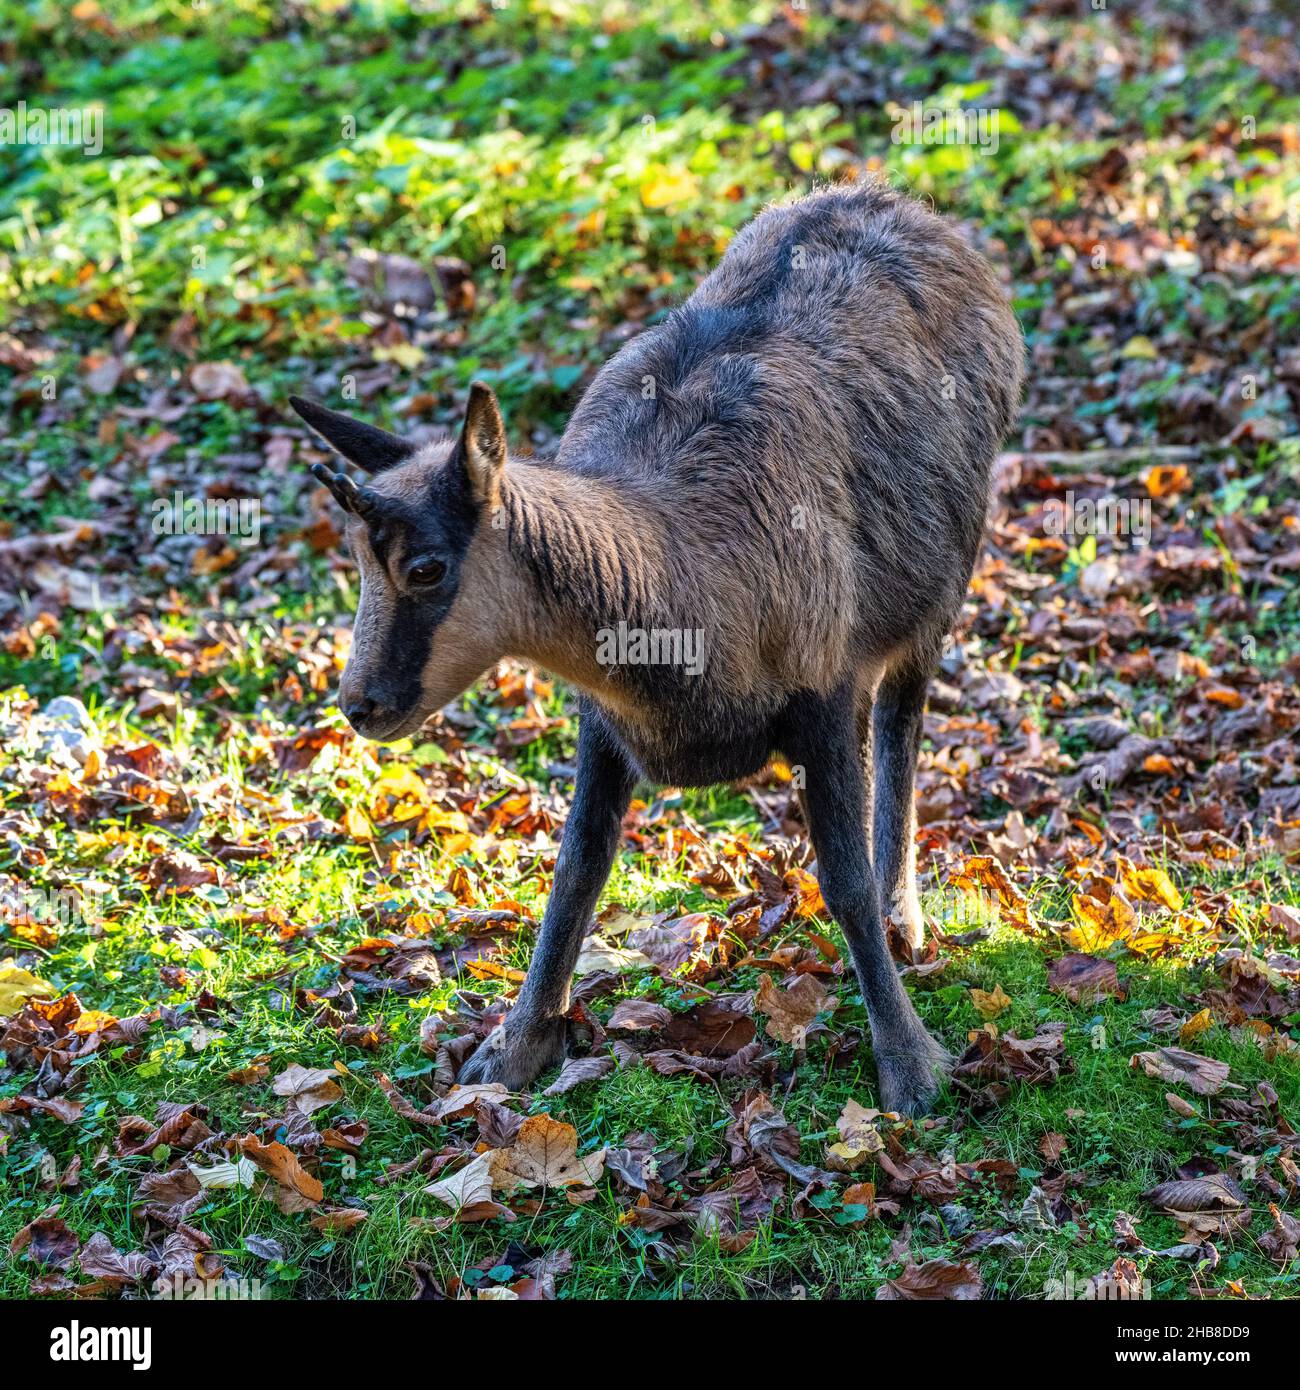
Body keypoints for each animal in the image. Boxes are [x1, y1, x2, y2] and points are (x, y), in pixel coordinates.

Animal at [292, 179, 1023, 1114]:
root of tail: (905, 208)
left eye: (426, 567)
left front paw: (912, 1063)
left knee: (902, 722)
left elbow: (844, 880)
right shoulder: (605, 723)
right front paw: (514, 1047)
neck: (687, 588)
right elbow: (577, 868)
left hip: (941, 588)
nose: (361, 705)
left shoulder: (825, 686)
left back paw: (906, 919)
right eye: (355, 562)